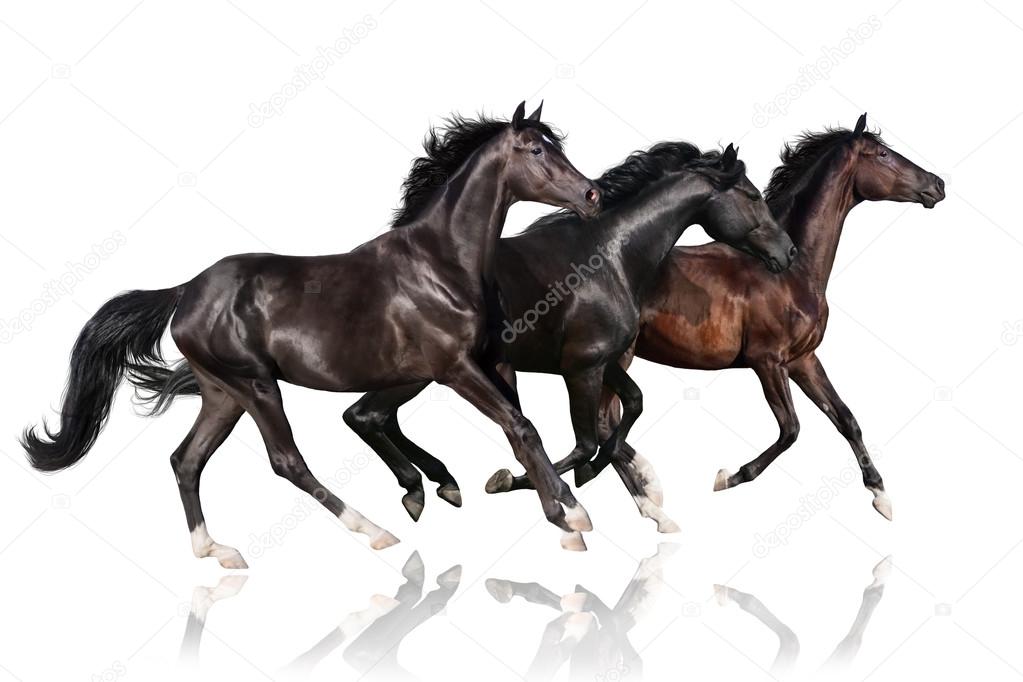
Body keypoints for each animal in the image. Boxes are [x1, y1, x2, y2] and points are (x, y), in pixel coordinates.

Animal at [22, 101, 602, 566]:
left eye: (559, 145)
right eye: (536, 149)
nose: (592, 194)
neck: (443, 264)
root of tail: (186, 292)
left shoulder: (489, 362)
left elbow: (521, 432)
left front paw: (556, 509)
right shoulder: (455, 369)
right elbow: (521, 428)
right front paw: (573, 520)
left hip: (222, 393)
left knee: (186, 460)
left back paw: (216, 551)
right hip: (256, 386)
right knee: (287, 462)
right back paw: (374, 531)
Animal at [584, 113, 945, 520]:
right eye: (883, 154)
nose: (937, 184)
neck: (791, 271)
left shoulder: (803, 359)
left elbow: (846, 419)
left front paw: (880, 496)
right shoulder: (767, 361)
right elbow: (791, 429)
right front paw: (728, 476)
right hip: (618, 358)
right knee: (605, 424)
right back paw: (651, 504)